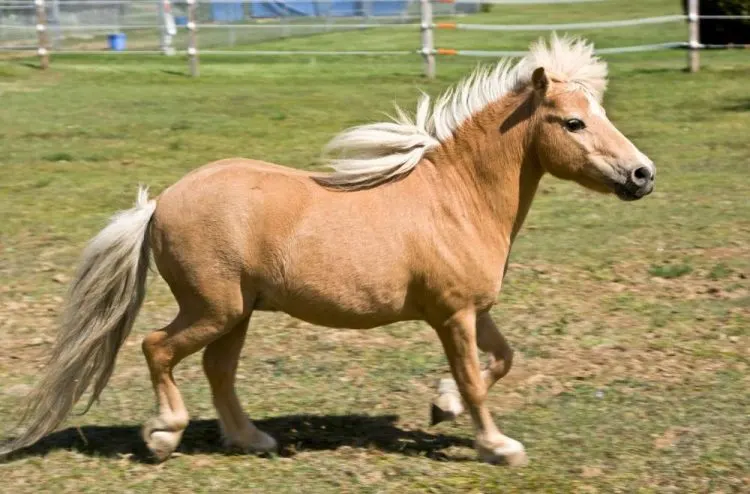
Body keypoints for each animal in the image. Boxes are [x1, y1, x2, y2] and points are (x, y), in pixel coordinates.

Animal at [2, 35, 655, 467]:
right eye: (573, 123)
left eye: (599, 113)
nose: (643, 175)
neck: (456, 199)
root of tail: (160, 203)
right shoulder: (452, 315)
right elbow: (473, 377)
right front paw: (498, 446)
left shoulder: (474, 309)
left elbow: (502, 361)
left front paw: (440, 407)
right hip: (212, 307)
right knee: (157, 348)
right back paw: (163, 435)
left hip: (236, 312)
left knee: (217, 368)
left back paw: (252, 440)